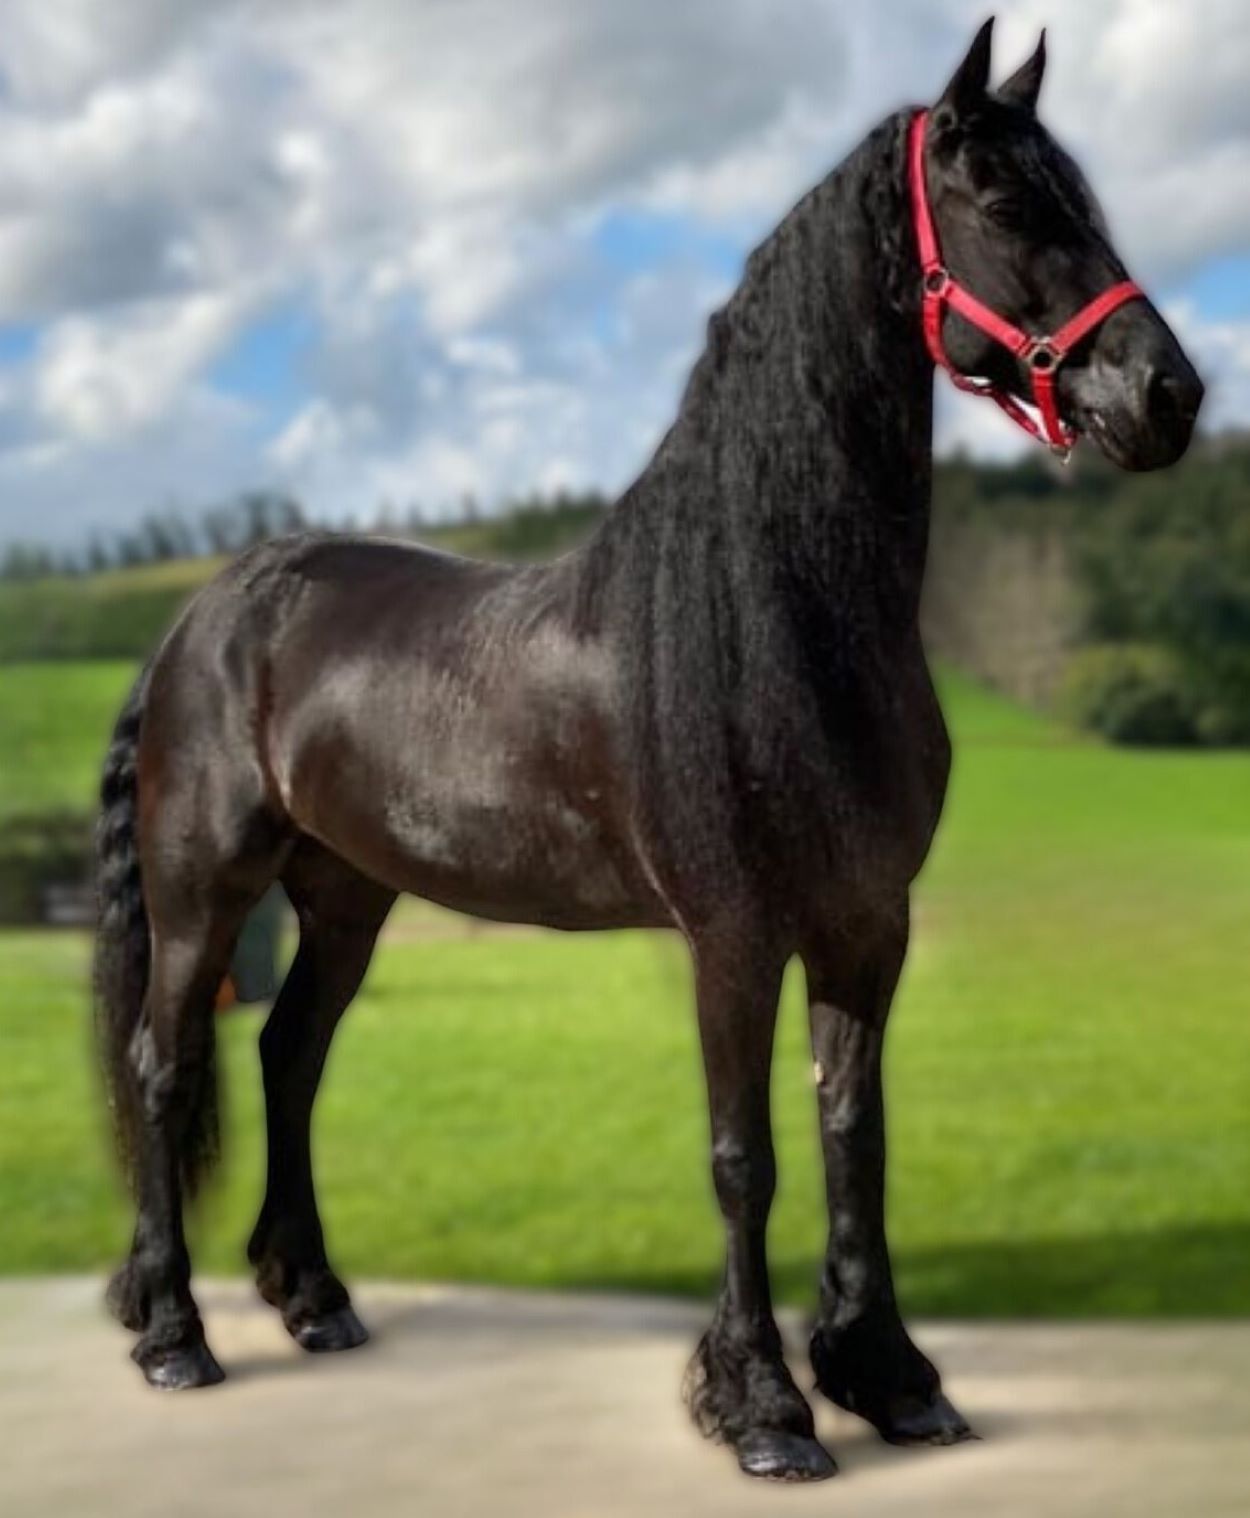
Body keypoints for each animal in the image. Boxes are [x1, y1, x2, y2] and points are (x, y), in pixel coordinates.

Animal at [94, 18, 1202, 1481]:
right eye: (1011, 204)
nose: (1168, 393)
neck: (768, 613)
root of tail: (204, 614)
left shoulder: (866, 925)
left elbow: (854, 1137)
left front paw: (893, 1381)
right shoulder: (733, 932)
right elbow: (744, 1155)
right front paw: (765, 1410)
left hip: (345, 894)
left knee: (289, 1057)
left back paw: (316, 1301)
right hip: (203, 891)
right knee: (166, 1068)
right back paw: (173, 1333)